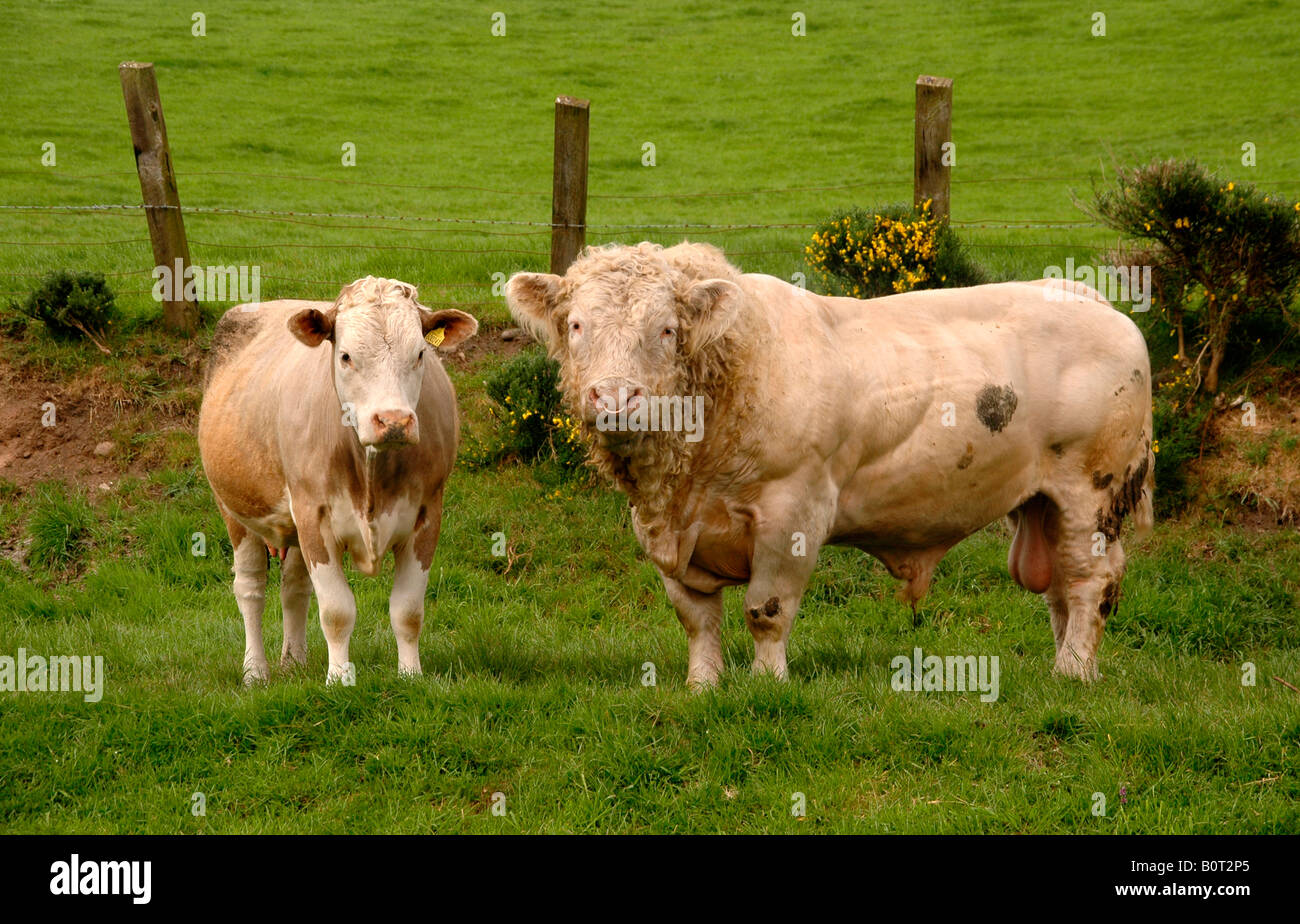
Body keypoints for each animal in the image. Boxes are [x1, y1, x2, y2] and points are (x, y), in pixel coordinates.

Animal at [198, 276, 477, 684]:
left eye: (420, 354)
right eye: (345, 356)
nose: (394, 421)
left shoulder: (428, 513)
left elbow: (408, 610)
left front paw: (410, 676)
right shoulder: (314, 516)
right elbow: (336, 610)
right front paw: (339, 679)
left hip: (293, 526)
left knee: (294, 587)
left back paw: (294, 660)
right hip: (235, 510)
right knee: (250, 589)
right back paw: (255, 671)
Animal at [506, 242, 1154, 687]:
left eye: (666, 330)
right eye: (576, 325)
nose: (614, 399)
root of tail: (1091, 297)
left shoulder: (792, 511)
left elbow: (765, 611)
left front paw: (767, 684)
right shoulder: (663, 530)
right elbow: (698, 619)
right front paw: (702, 687)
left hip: (1091, 494)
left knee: (1091, 581)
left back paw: (1073, 672)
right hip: (1042, 503)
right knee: (1060, 589)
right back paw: (1063, 666)